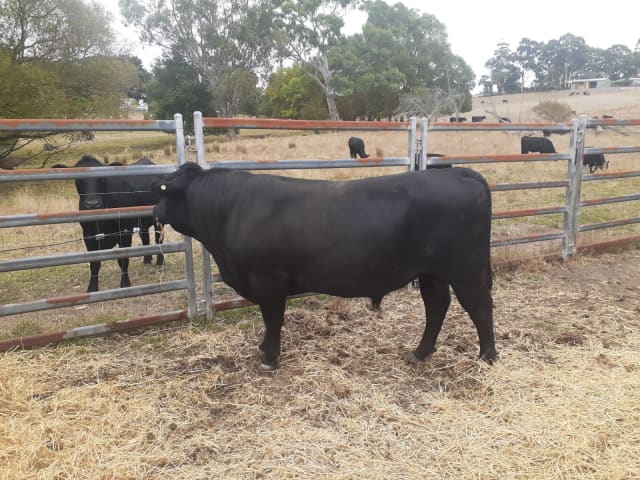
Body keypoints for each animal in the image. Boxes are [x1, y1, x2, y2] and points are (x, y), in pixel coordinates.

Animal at [67, 155, 165, 292]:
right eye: (78, 181)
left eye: (102, 179)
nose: (92, 204)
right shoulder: (88, 235)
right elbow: (94, 263)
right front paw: (92, 288)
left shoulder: (124, 232)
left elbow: (123, 259)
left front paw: (125, 283)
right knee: (145, 237)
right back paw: (147, 260)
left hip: (158, 220)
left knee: (158, 238)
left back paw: (160, 263)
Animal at [152, 163, 496, 371]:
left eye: (163, 192)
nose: (154, 212)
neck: (231, 211)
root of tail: (457, 173)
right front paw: (264, 349)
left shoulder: (269, 281)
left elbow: (273, 320)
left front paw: (270, 358)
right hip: (432, 272)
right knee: (437, 306)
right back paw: (420, 353)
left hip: (466, 268)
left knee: (480, 307)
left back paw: (487, 357)